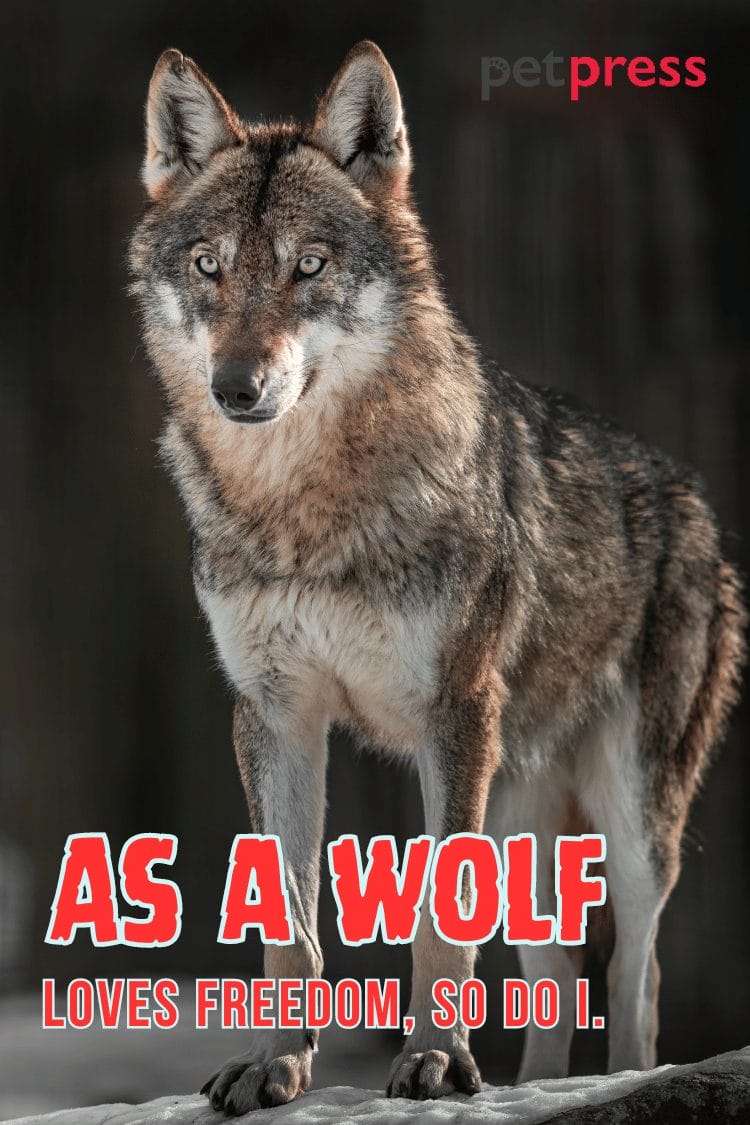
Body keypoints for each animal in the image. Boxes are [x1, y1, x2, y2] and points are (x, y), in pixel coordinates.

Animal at [129, 41, 745, 1113]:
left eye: (309, 266)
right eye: (210, 267)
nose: (236, 387)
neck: (303, 512)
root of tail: (690, 492)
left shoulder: (451, 713)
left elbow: (433, 921)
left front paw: (434, 1060)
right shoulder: (275, 713)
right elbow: (290, 924)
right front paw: (276, 1064)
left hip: (627, 812)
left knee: (638, 971)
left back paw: (622, 1079)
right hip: (519, 803)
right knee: (558, 966)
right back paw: (530, 1088)